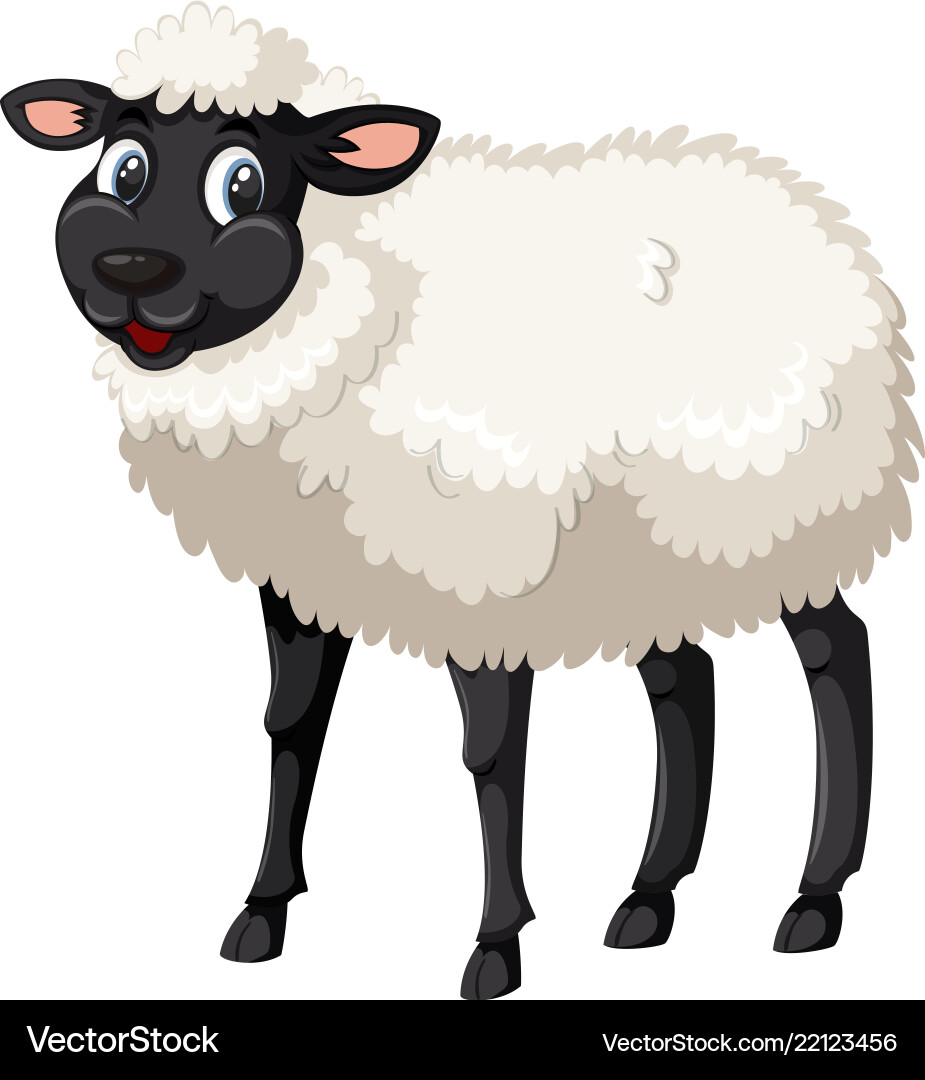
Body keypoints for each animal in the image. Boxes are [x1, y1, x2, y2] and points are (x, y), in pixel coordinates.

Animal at [2, 1, 920, 1001]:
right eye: (124, 167)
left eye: (241, 181)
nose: (131, 268)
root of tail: (813, 212)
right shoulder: (302, 570)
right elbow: (291, 724)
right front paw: (261, 914)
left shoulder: (477, 563)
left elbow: (488, 754)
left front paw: (495, 947)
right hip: (642, 552)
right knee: (684, 680)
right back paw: (648, 901)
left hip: (788, 511)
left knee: (838, 655)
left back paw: (814, 902)